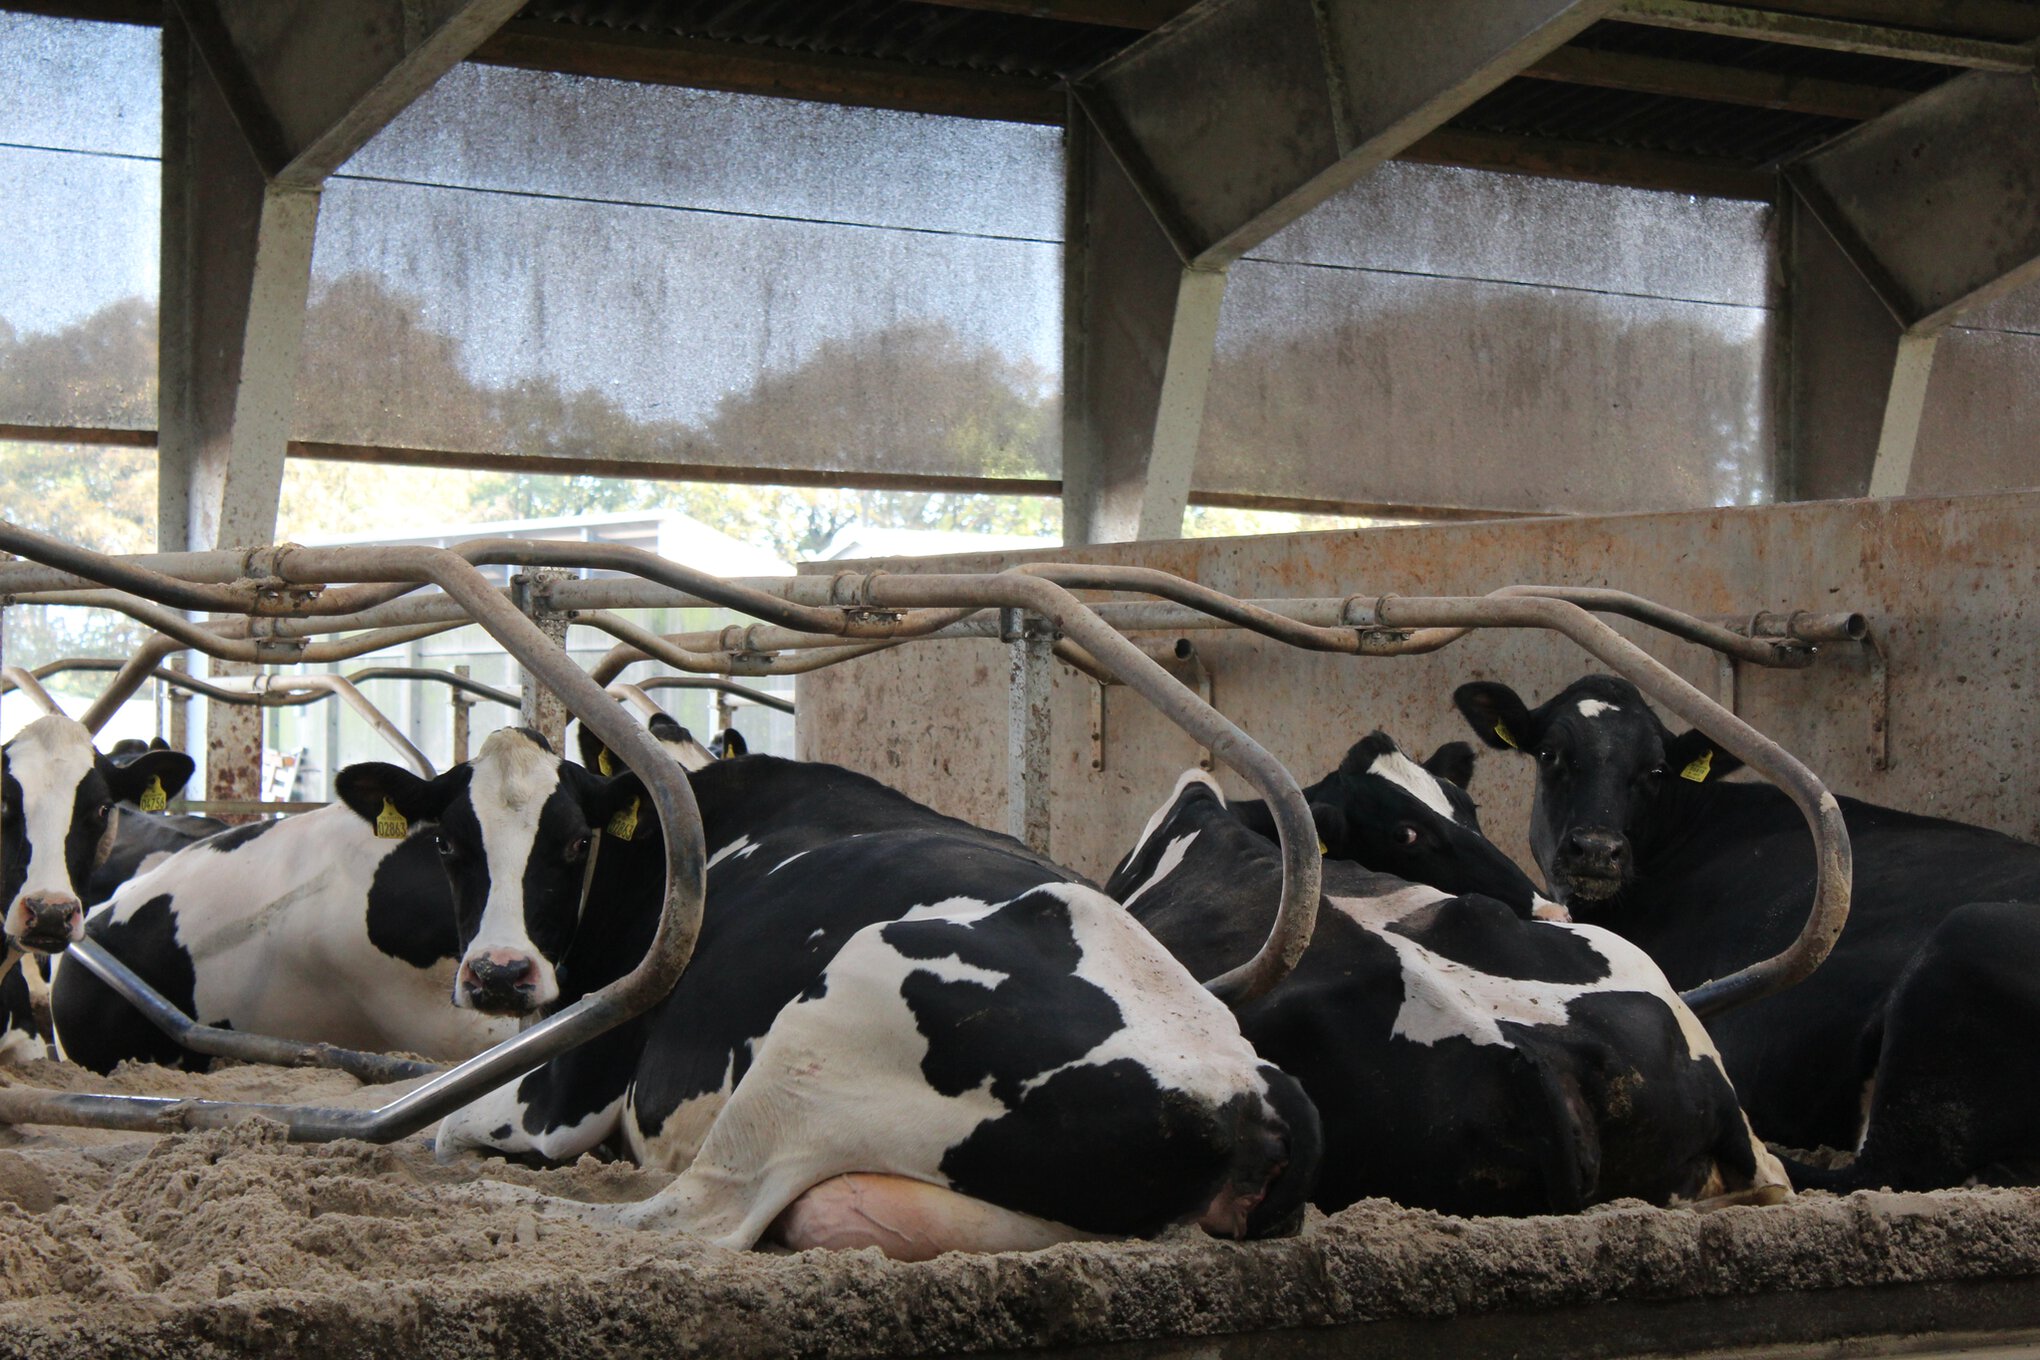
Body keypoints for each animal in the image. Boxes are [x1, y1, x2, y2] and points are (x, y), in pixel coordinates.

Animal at [333, 728, 1321, 1257]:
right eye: (447, 844)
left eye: (574, 842)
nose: (500, 973)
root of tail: (1252, 1098)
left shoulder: (565, 1094)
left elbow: (447, 1126)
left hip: (826, 1031)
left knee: (684, 1217)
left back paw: (490, 1206)